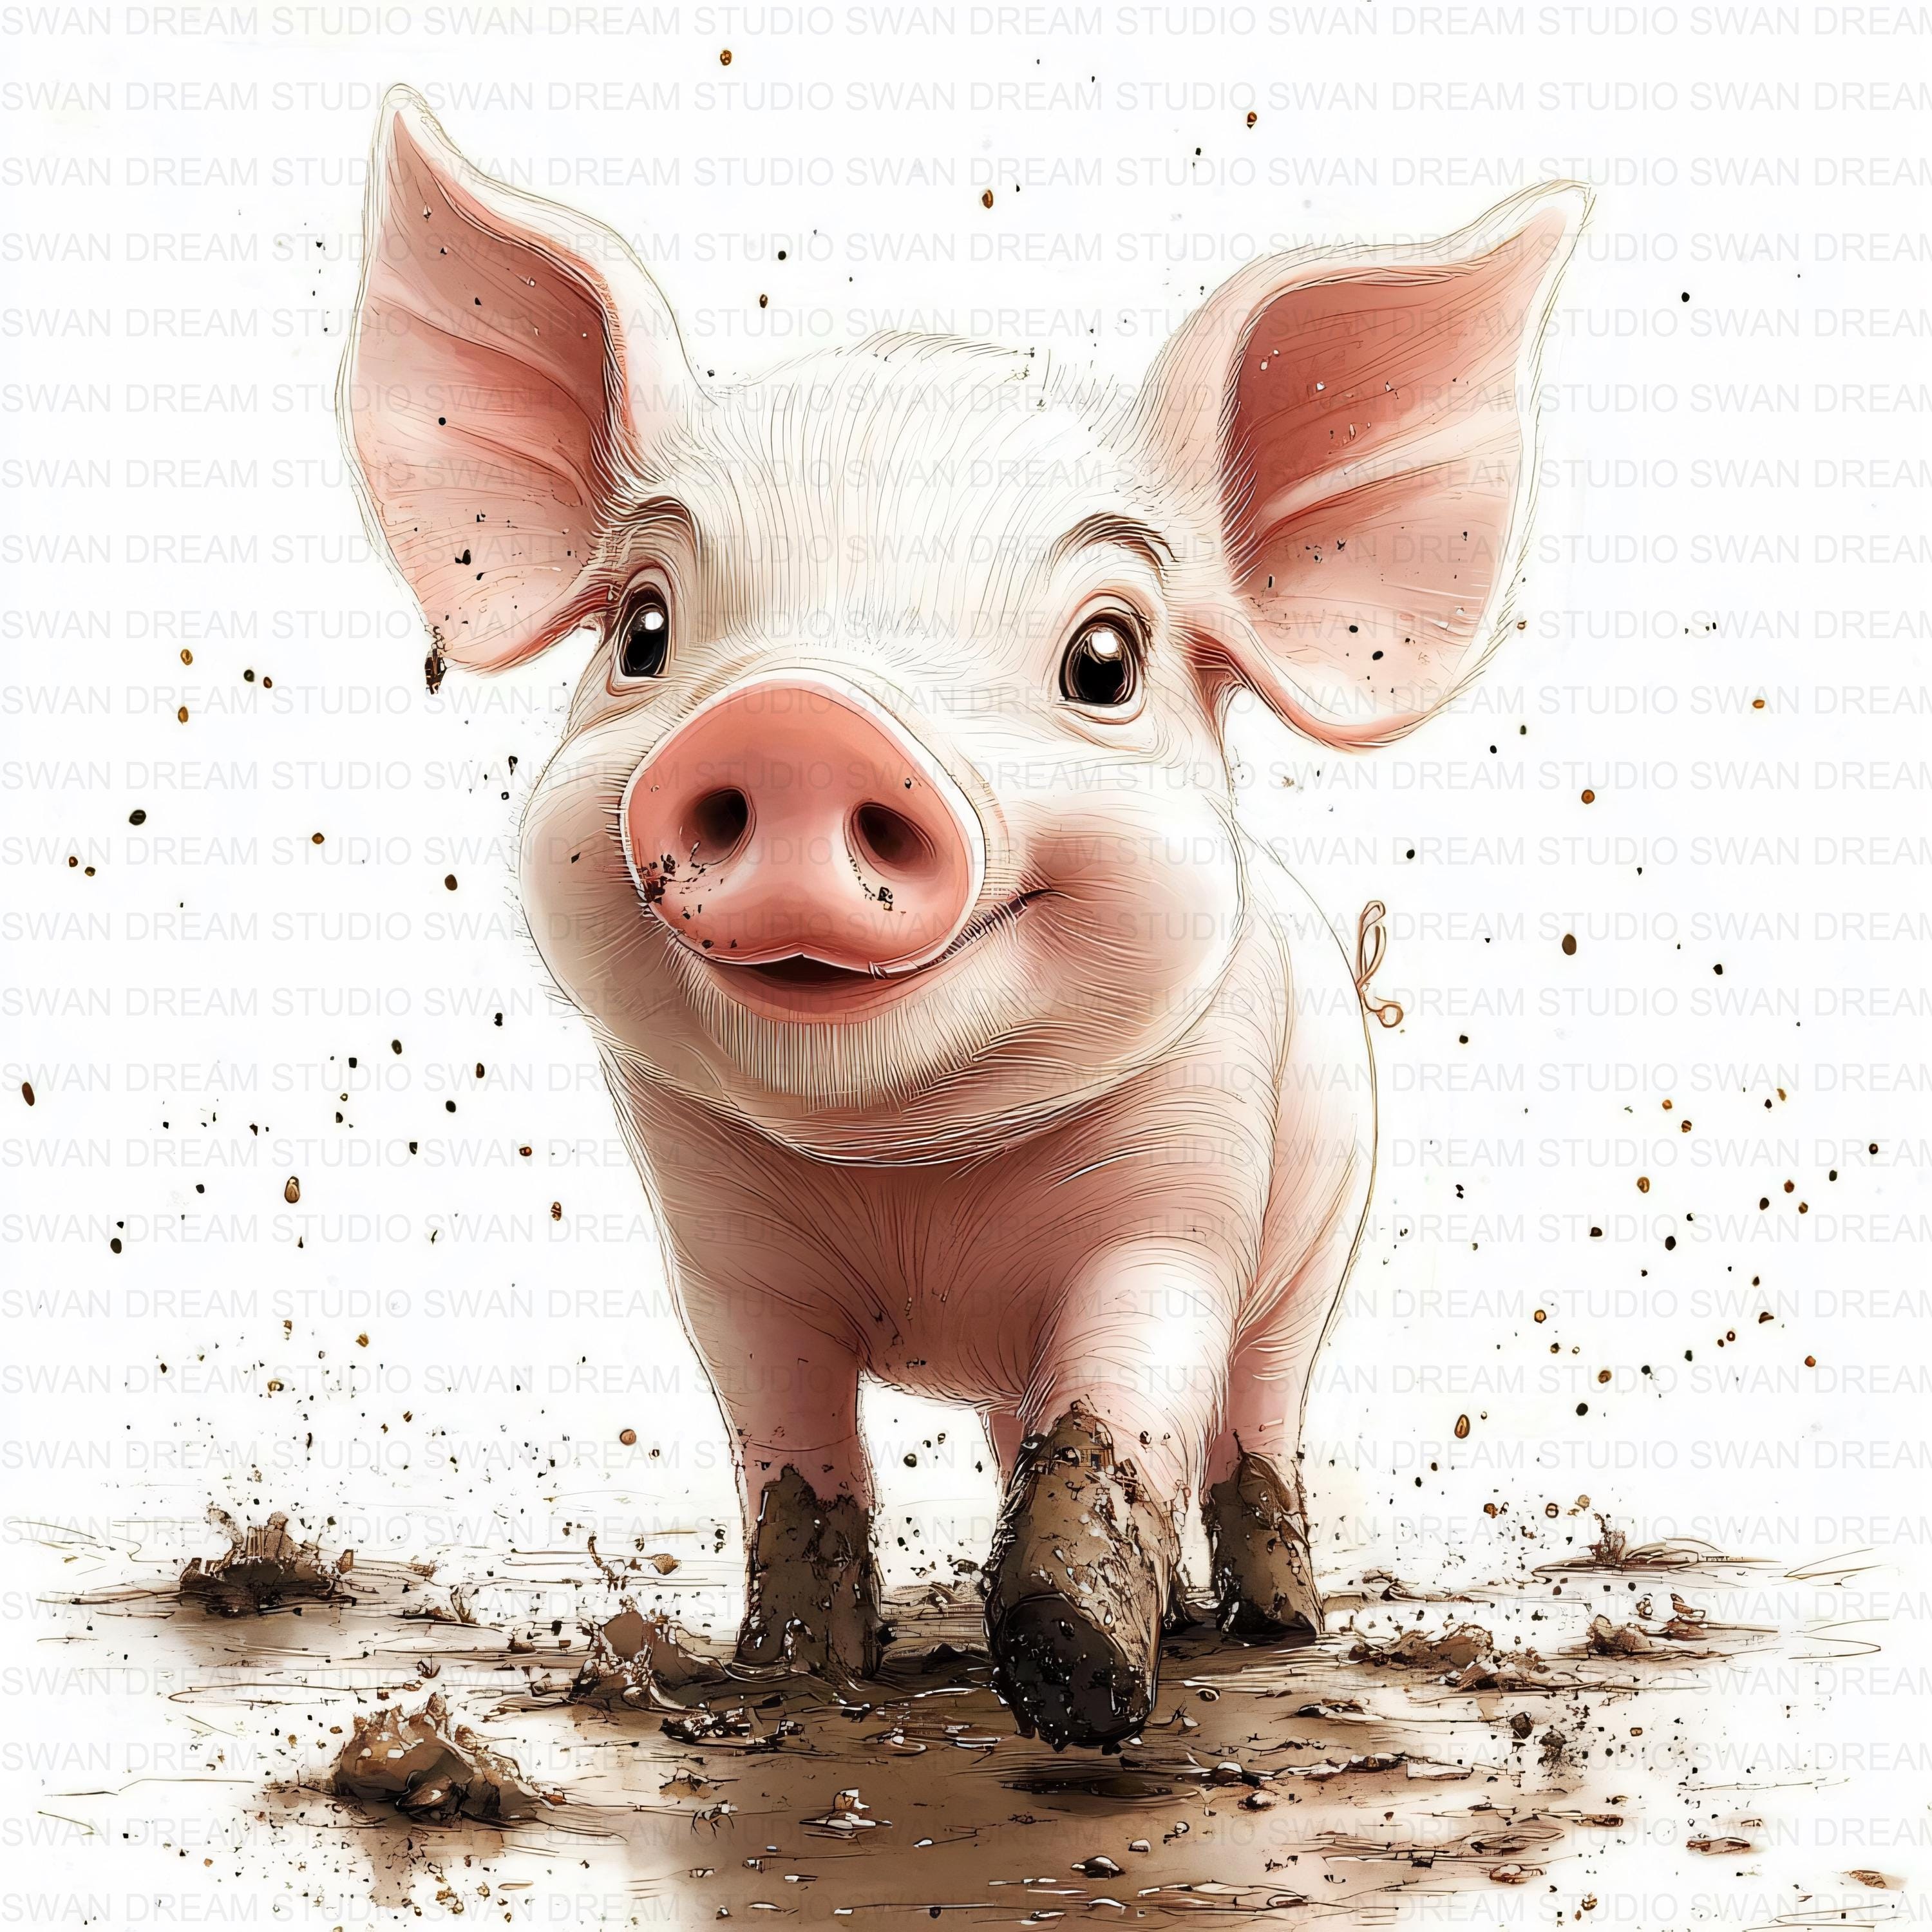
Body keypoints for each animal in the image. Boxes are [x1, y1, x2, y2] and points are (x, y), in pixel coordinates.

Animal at [341, 87, 1585, 1749]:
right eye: (644, 631)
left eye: (1106, 659)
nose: (795, 723)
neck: (917, 1180)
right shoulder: (721, 1254)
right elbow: (794, 1470)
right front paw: (789, 1677)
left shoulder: (1185, 1195)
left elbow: (1117, 1406)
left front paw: (1078, 1691)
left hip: (1319, 1242)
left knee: (1249, 1430)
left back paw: (1271, 1631)